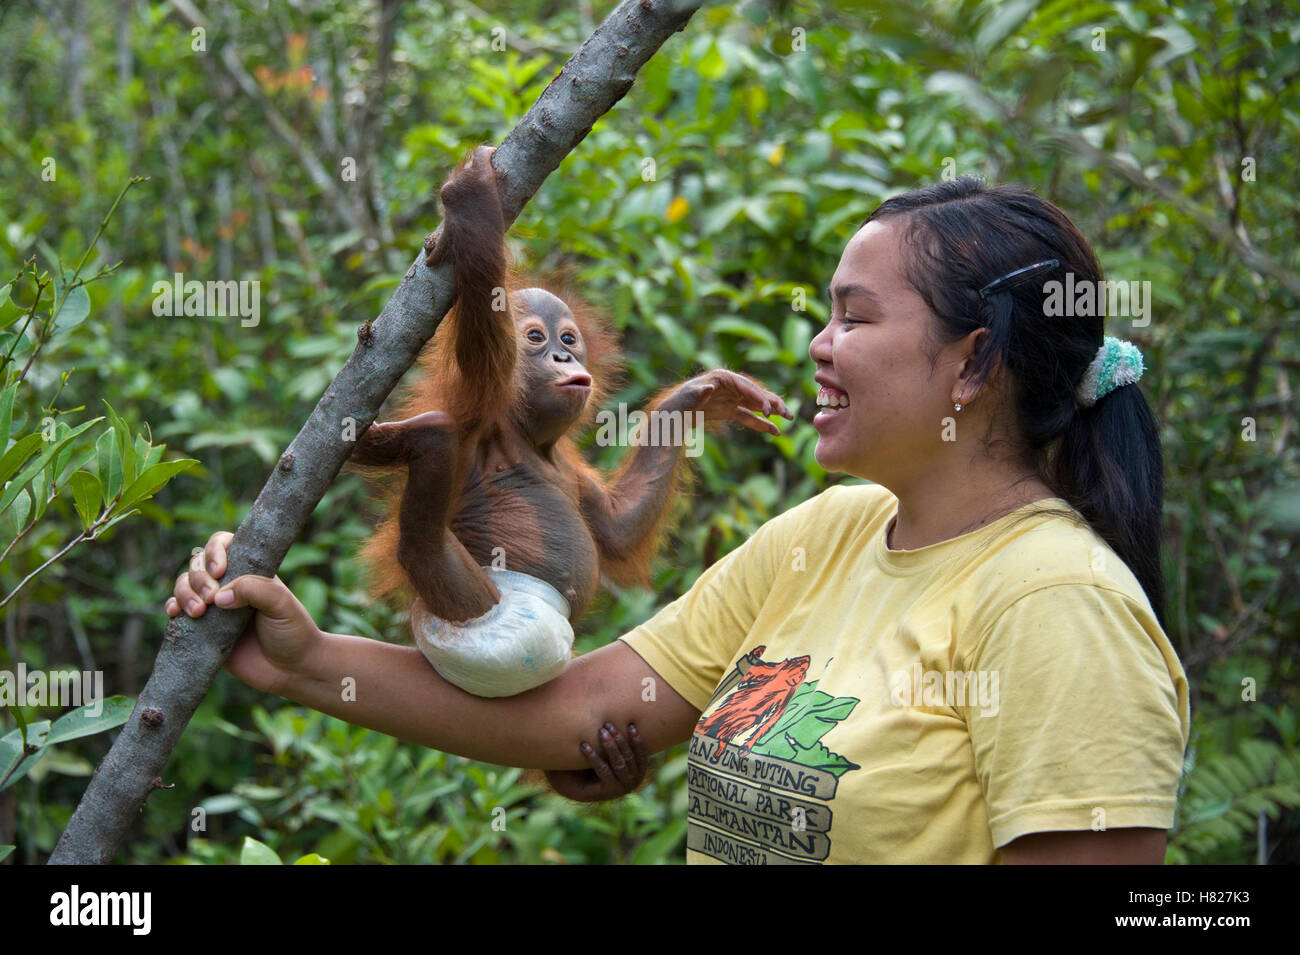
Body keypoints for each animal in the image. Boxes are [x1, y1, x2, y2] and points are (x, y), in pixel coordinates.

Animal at [350, 146, 792, 697]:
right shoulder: (482, 399)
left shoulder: (570, 464)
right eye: (536, 339)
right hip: (483, 618)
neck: (527, 436)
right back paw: (417, 441)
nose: (563, 358)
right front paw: (470, 202)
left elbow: (616, 527)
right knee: (423, 540)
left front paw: (702, 396)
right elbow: (483, 329)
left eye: (569, 339)